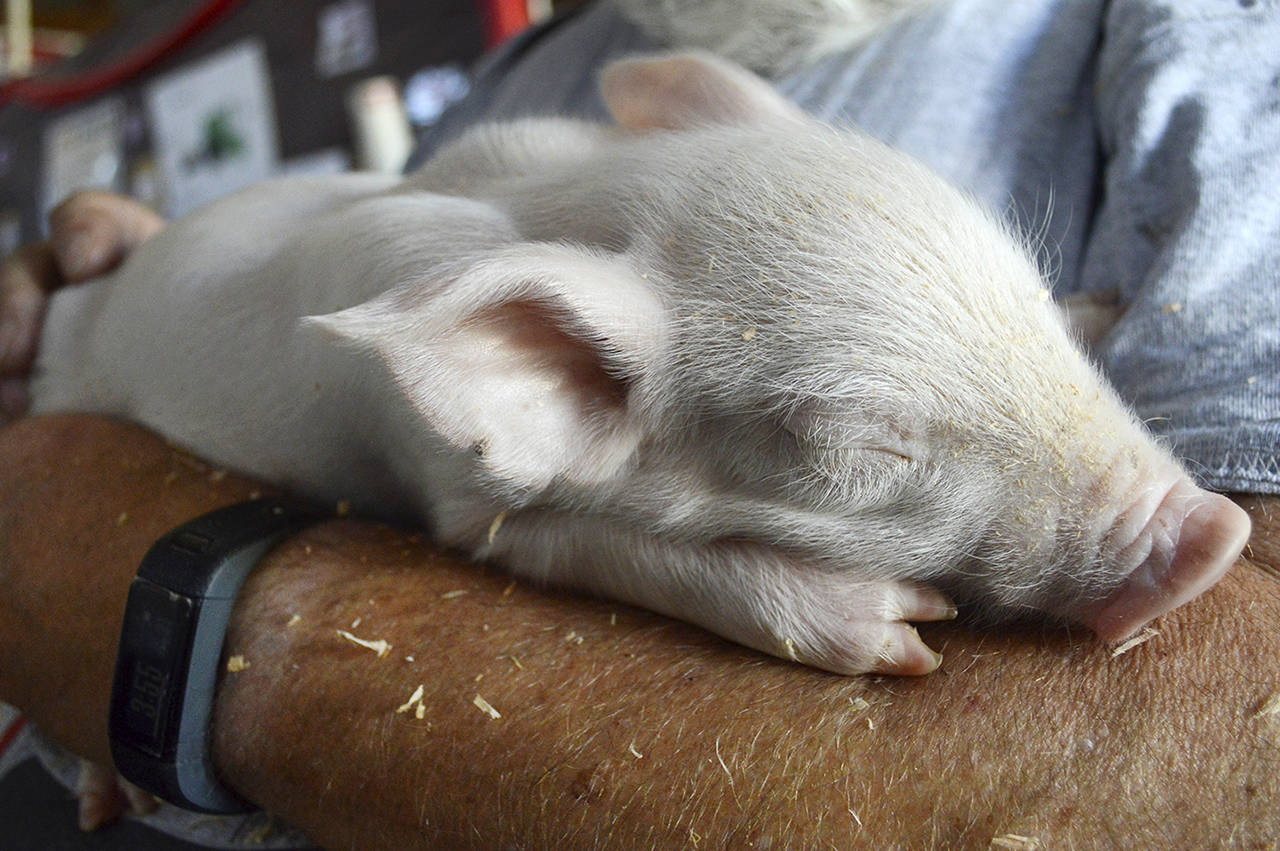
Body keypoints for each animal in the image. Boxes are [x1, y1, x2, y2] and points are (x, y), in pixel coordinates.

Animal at [31, 52, 1251, 678]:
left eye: (1027, 287)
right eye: (861, 445)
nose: (1214, 532)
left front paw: (1108, 303)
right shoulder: (458, 496)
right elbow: (596, 552)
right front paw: (904, 630)